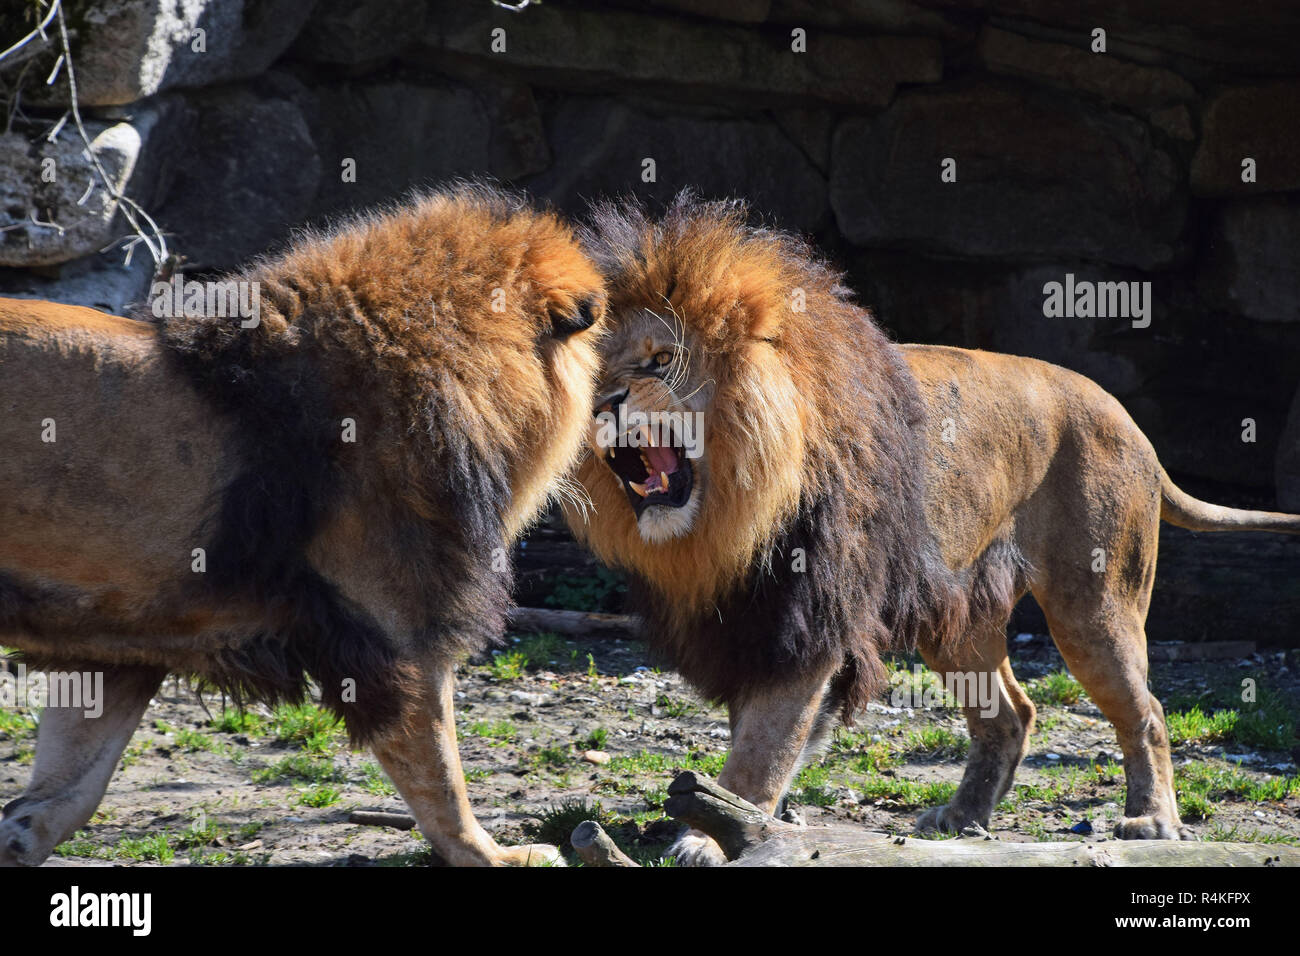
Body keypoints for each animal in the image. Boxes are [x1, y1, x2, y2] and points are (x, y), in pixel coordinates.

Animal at [0, 184, 606, 867]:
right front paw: (495, 855)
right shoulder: (393, 629)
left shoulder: (120, 635)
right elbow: (441, 774)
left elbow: (72, 782)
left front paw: (19, 836)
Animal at [565, 194, 1300, 865]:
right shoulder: (754, 622)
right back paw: (962, 818)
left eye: (660, 360)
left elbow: (763, 748)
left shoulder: (808, 621)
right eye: (594, 372)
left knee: (1146, 711)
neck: (728, 516)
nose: (604, 402)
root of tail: (1130, 422)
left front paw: (708, 835)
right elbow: (757, 736)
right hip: (959, 617)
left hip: (1094, 604)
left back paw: (1152, 821)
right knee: (1013, 713)